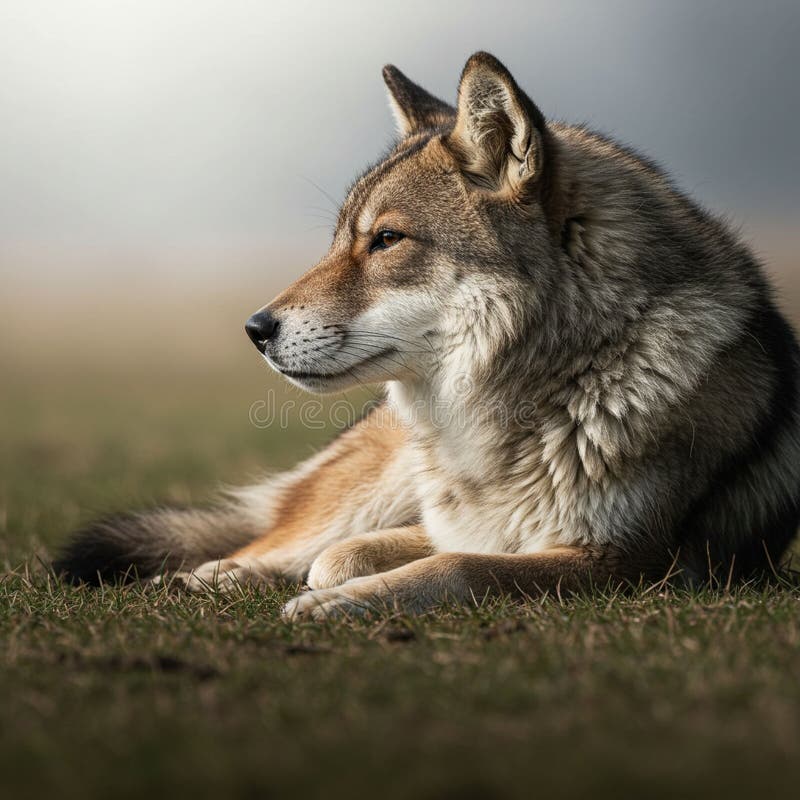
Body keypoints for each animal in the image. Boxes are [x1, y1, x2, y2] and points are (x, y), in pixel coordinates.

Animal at [56, 52, 800, 619]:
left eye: (386, 240)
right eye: (340, 241)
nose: (254, 329)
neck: (562, 383)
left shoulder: (625, 563)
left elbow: (456, 568)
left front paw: (341, 603)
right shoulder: (441, 525)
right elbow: (343, 557)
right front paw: (328, 589)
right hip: (371, 486)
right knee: (269, 542)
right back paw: (206, 578)